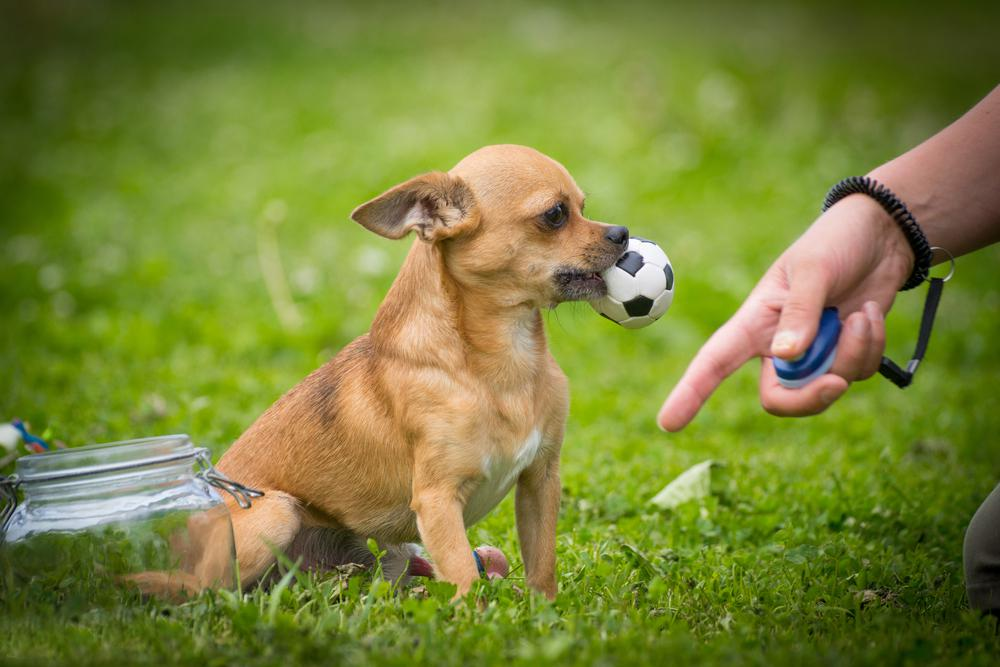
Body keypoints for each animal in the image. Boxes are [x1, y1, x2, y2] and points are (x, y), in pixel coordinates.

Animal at [208, 147, 628, 600]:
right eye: (555, 214)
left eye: (583, 207)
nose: (621, 232)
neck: (501, 362)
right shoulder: (438, 500)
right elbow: (463, 577)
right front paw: (474, 615)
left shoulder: (541, 480)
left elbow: (541, 562)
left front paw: (542, 608)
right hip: (277, 511)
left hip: (388, 556)